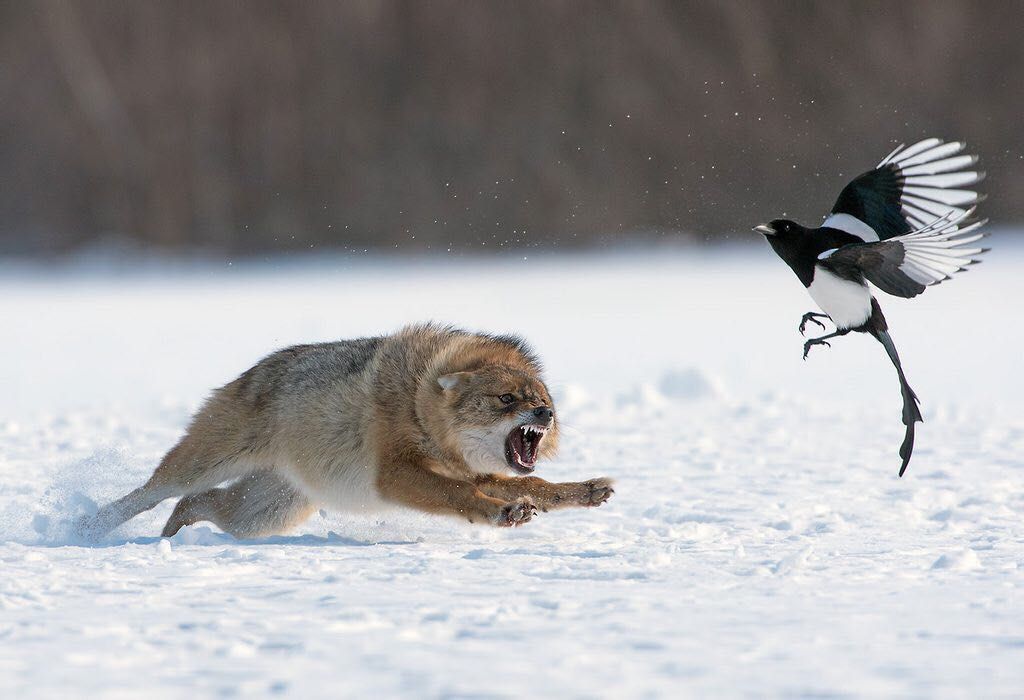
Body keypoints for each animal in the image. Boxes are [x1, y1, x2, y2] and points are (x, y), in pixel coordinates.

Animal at [79, 324, 614, 540]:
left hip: (263, 515)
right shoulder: (396, 476)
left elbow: (536, 484)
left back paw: (168, 541)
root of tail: (254, 370)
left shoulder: (477, 472)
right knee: (149, 494)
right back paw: (86, 529)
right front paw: (503, 513)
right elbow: (461, 497)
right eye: (508, 400)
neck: (418, 404)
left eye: (545, 402)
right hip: (200, 469)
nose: (544, 415)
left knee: (194, 504)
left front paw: (586, 491)